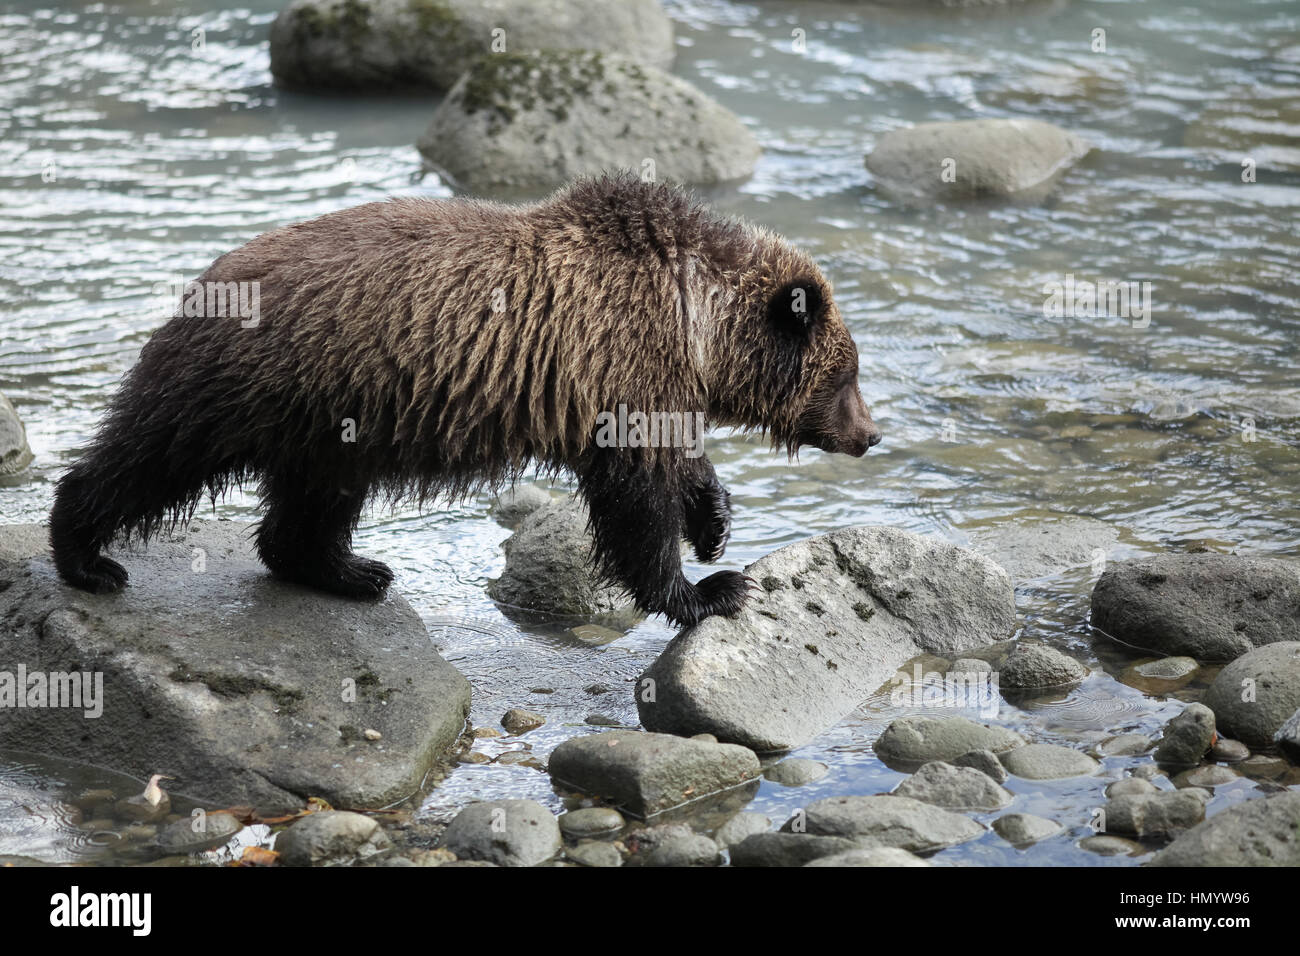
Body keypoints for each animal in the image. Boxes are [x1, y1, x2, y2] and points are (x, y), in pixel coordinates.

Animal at [49, 174, 881, 627]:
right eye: (848, 374)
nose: (871, 434)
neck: (695, 322)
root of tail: (206, 279)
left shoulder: (651, 382)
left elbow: (673, 460)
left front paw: (713, 525)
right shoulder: (617, 363)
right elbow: (635, 499)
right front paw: (710, 589)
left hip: (331, 413)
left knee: (315, 499)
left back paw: (351, 571)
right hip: (253, 378)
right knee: (153, 456)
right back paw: (86, 556)